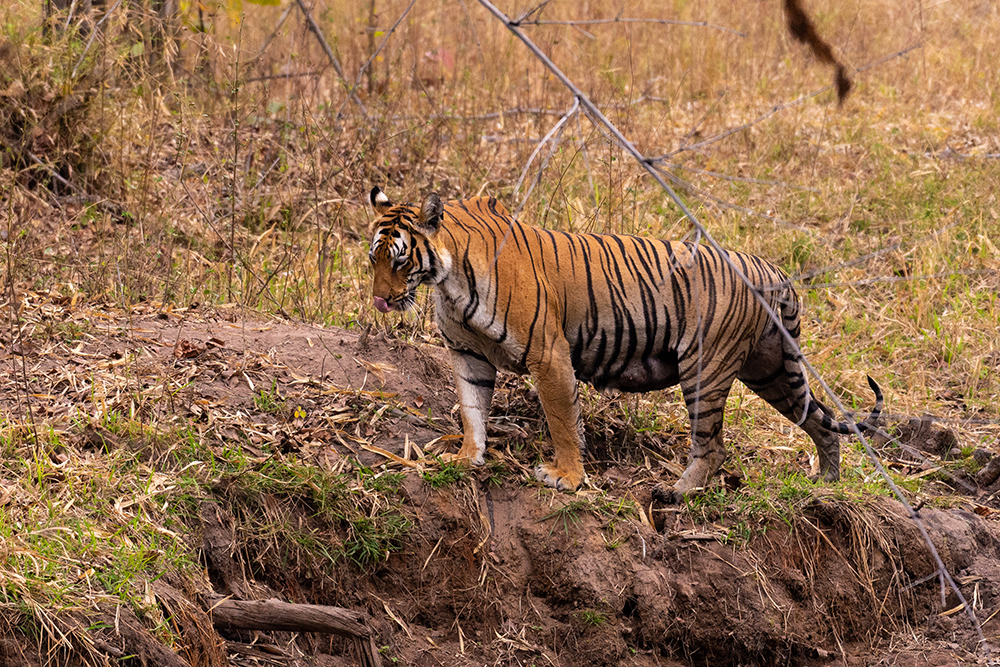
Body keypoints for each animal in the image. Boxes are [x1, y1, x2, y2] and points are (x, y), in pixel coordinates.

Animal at [367, 186, 882, 500]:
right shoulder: (468, 354)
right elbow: (472, 410)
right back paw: (827, 482)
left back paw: (677, 491)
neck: (448, 279)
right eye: (373, 258)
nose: (379, 299)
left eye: (400, 260)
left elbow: (562, 422)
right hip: (772, 370)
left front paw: (566, 478)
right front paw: (466, 459)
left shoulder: (548, 355)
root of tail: (774, 271)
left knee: (713, 446)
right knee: (819, 419)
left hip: (707, 367)